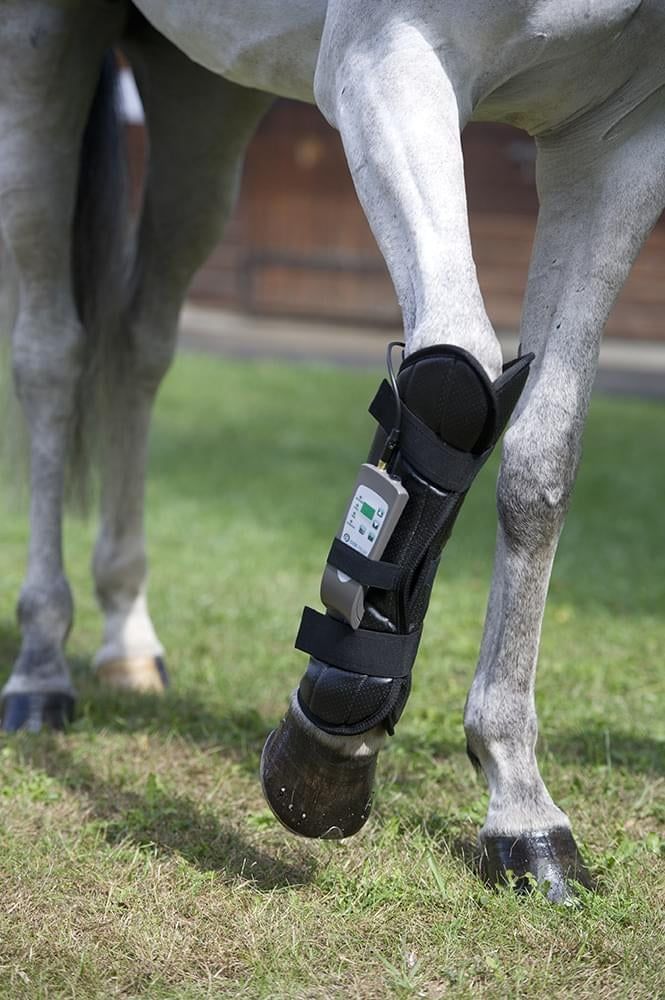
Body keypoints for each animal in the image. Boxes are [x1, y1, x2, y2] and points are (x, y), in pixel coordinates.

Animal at [0, 1, 662, 902]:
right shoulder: (385, 58)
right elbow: (457, 374)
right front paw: (329, 743)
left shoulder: (615, 139)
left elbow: (541, 463)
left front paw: (520, 806)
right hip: (41, 44)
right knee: (50, 353)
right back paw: (40, 667)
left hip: (203, 97)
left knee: (139, 342)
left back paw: (127, 637)